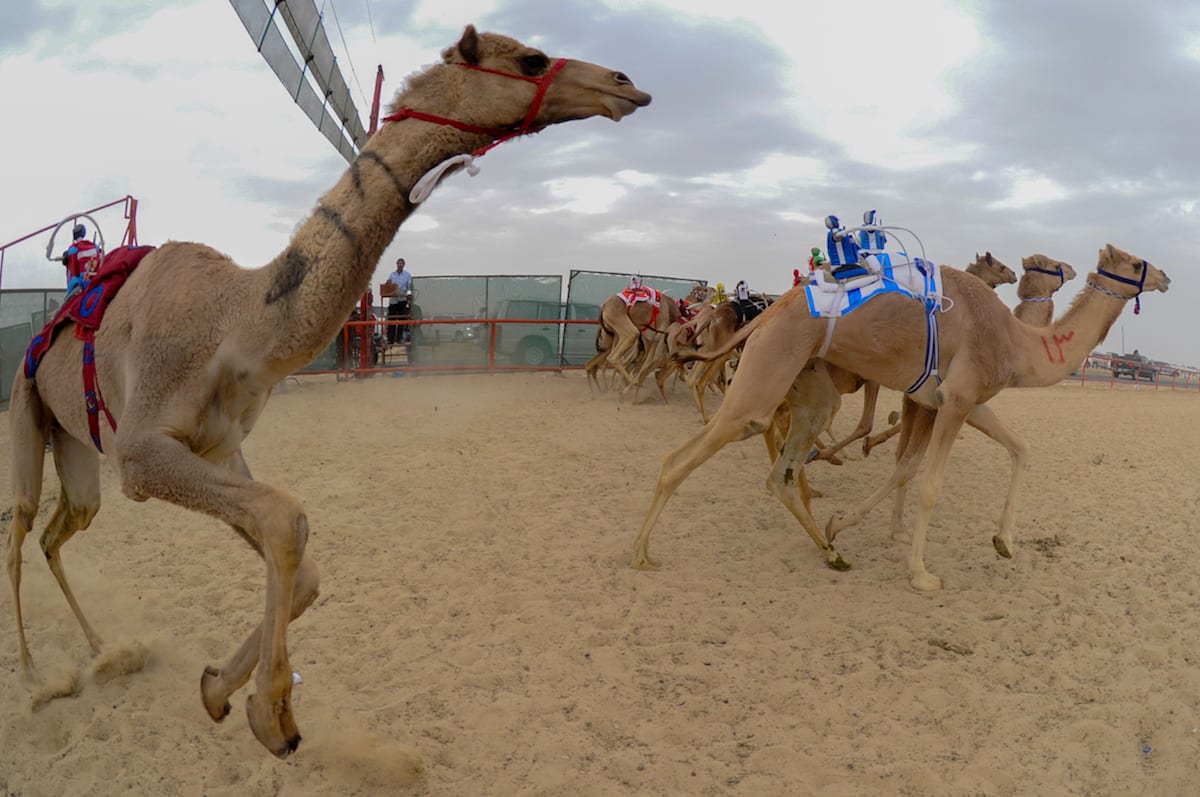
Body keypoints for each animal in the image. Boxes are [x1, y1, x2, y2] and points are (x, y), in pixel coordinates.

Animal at [6, 26, 650, 758]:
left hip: (75, 446)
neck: (235, 320)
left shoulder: (219, 445)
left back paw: (98, 649)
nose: (625, 84)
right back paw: (34, 674)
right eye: (530, 60)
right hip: (27, 402)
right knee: (19, 530)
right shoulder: (141, 453)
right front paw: (272, 714)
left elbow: (299, 554)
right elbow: (287, 516)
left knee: (63, 526)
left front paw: (219, 690)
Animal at [631, 246, 1167, 591]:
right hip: (765, 374)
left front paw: (1004, 542)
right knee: (682, 457)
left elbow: (1019, 448)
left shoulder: (962, 400)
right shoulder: (954, 400)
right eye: (1136, 262)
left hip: (805, 385)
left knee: (779, 470)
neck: (1018, 343)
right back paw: (640, 553)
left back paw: (832, 551)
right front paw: (920, 573)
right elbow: (926, 481)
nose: (1165, 276)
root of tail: (766, 311)